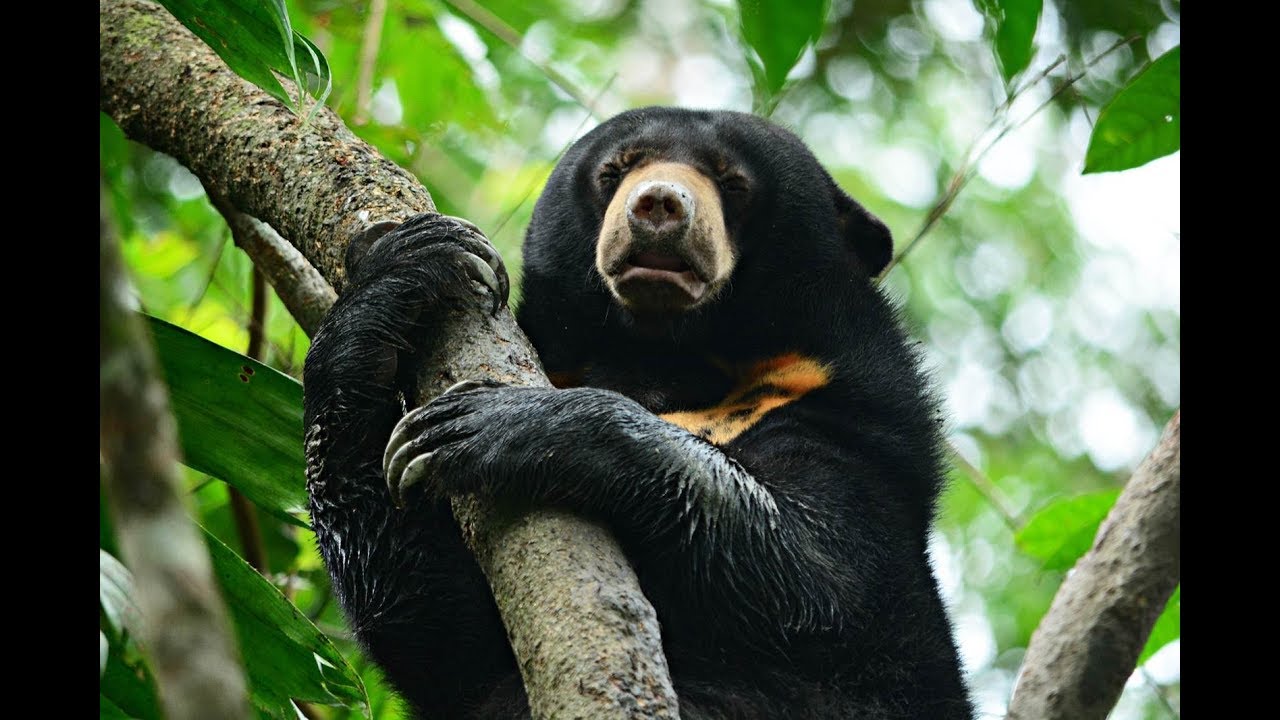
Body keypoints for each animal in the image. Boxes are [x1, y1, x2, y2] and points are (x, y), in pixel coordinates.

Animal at [303, 106, 974, 719]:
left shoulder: (853, 430)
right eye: (614, 171)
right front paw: (413, 262)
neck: (661, 357)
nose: (659, 205)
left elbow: (823, 585)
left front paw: (483, 424)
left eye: (732, 182)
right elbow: (442, 628)